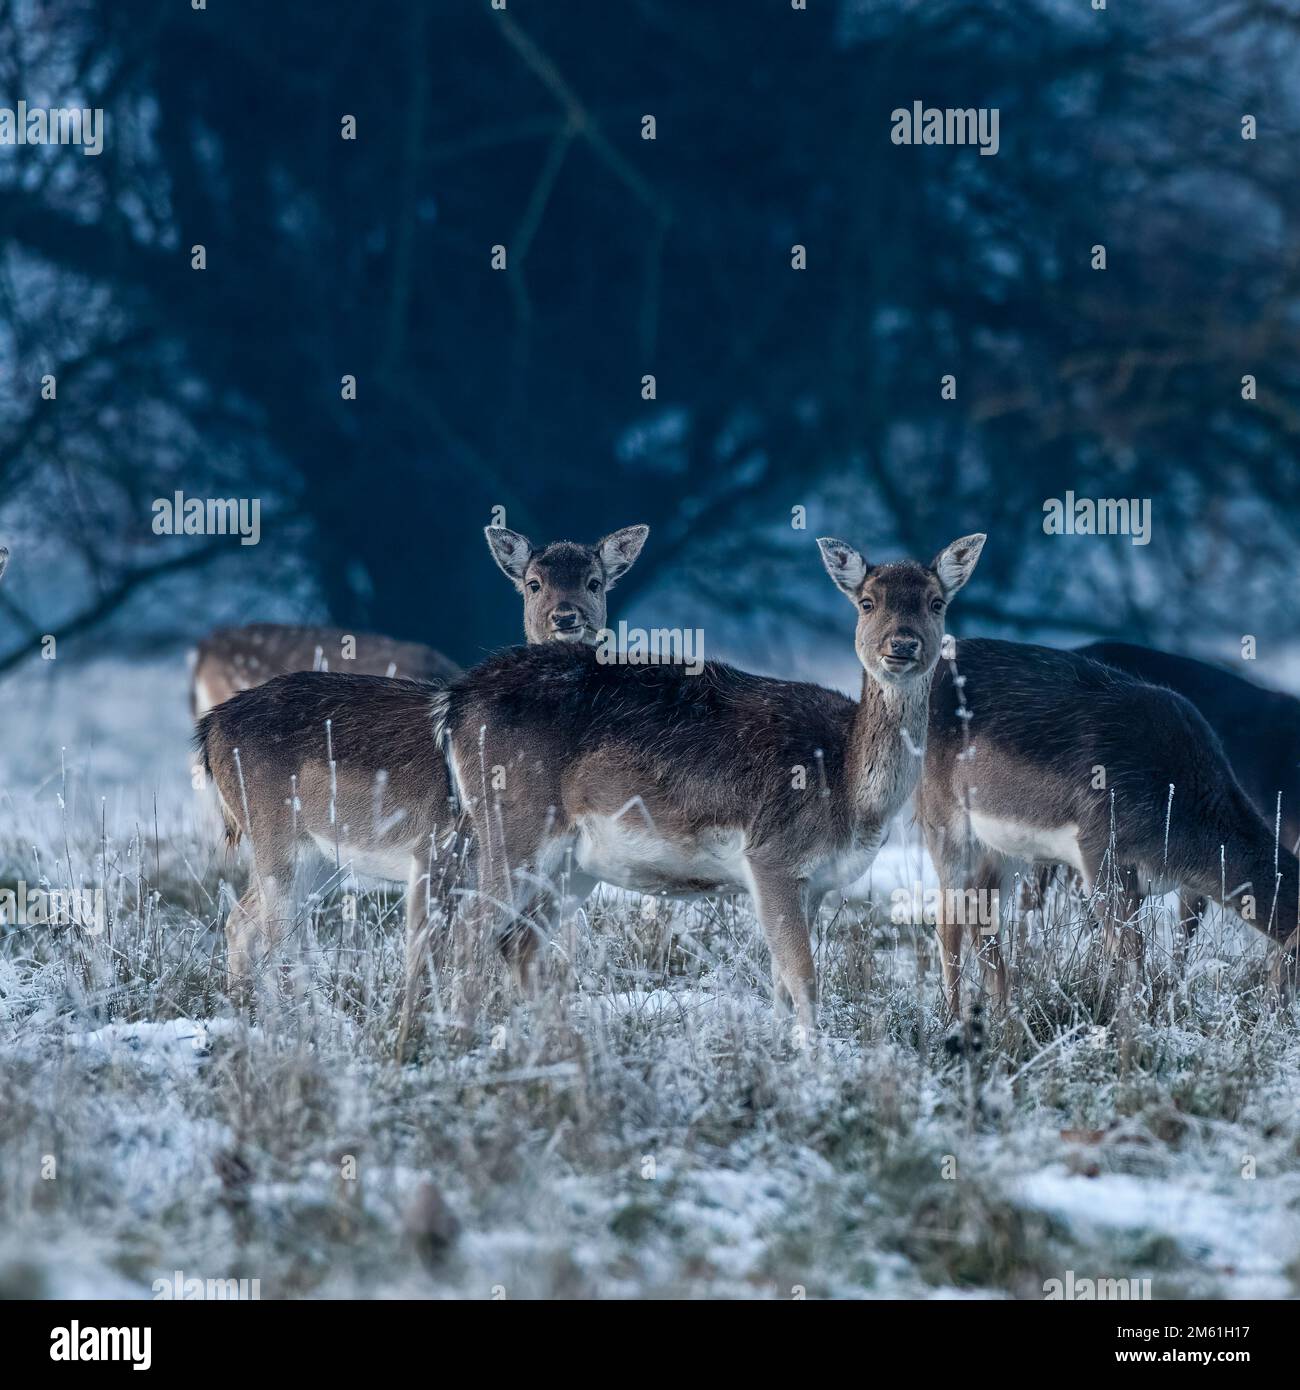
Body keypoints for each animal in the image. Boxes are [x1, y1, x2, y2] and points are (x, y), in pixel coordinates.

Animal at [196, 524, 649, 999]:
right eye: (534, 583)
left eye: (594, 582)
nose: (565, 616)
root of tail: (210, 728)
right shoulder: (443, 853)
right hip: (274, 833)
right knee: (274, 931)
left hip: (321, 856)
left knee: (241, 922)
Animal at [436, 533, 986, 1032]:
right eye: (867, 601)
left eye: (936, 602)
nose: (903, 644)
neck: (849, 786)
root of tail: (453, 703)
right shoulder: (772, 857)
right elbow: (804, 980)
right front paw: (814, 1065)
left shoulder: (815, 884)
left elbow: (781, 984)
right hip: (512, 823)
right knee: (469, 929)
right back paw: (459, 1039)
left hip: (573, 863)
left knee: (517, 940)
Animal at [917, 637, 1300, 1018]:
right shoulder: (1100, 854)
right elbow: (1132, 950)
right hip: (943, 818)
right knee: (948, 919)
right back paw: (954, 1018)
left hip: (1005, 850)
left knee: (983, 916)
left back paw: (1004, 1014)